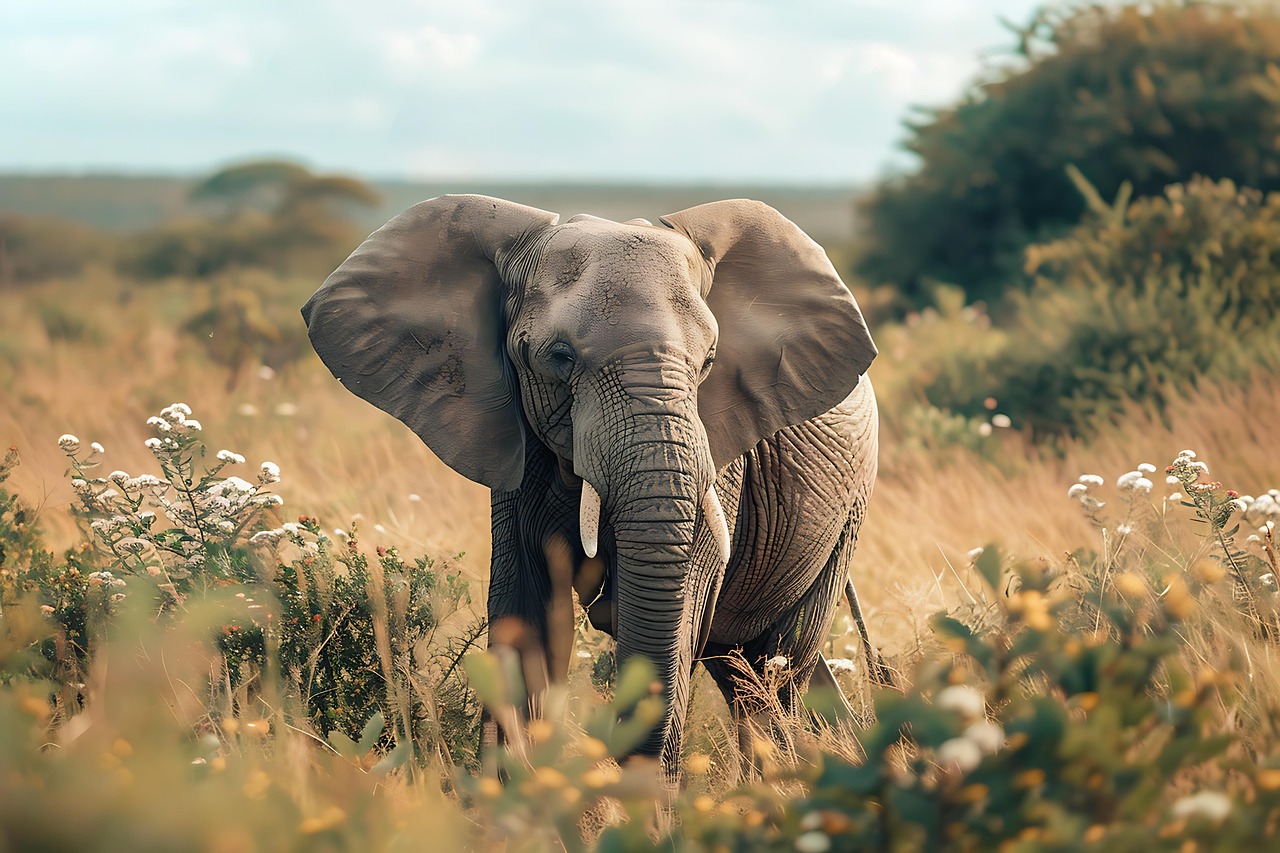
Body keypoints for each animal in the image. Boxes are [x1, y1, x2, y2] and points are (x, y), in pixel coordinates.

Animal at [301, 194, 886, 780]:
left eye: (710, 360)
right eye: (559, 357)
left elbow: (686, 604)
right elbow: (525, 605)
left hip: (848, 515)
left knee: (774, 667)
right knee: (743, 665)